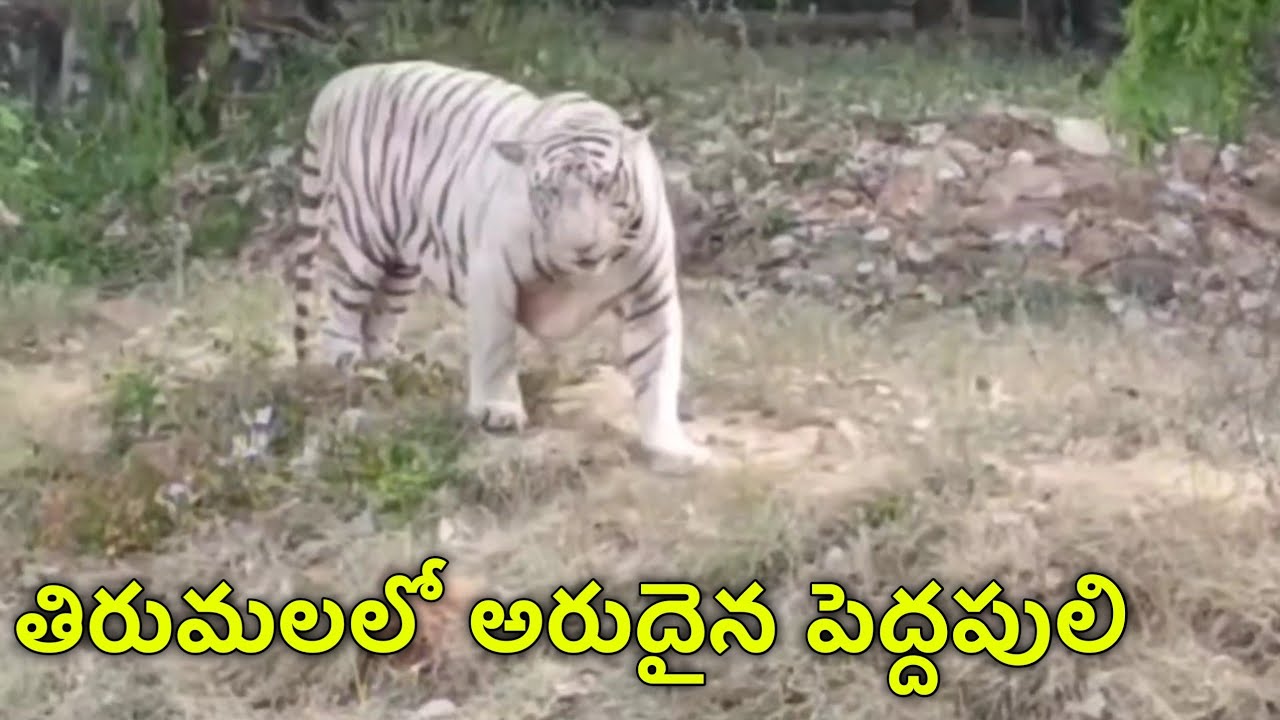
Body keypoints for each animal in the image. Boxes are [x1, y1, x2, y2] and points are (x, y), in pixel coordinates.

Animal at [290, 60, 711, 472]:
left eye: (604, 185)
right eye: (549, 191)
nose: (582, 247)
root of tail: (343, 80)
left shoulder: (650, 294)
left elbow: (657, 371)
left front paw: (670, 445)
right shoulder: (493, 272)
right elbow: (496, 348)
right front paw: (499, 411)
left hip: (400, 262)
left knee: (379, 319)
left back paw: (394, 368)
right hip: (363, 241)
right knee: (339, 314)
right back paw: (353, 366)